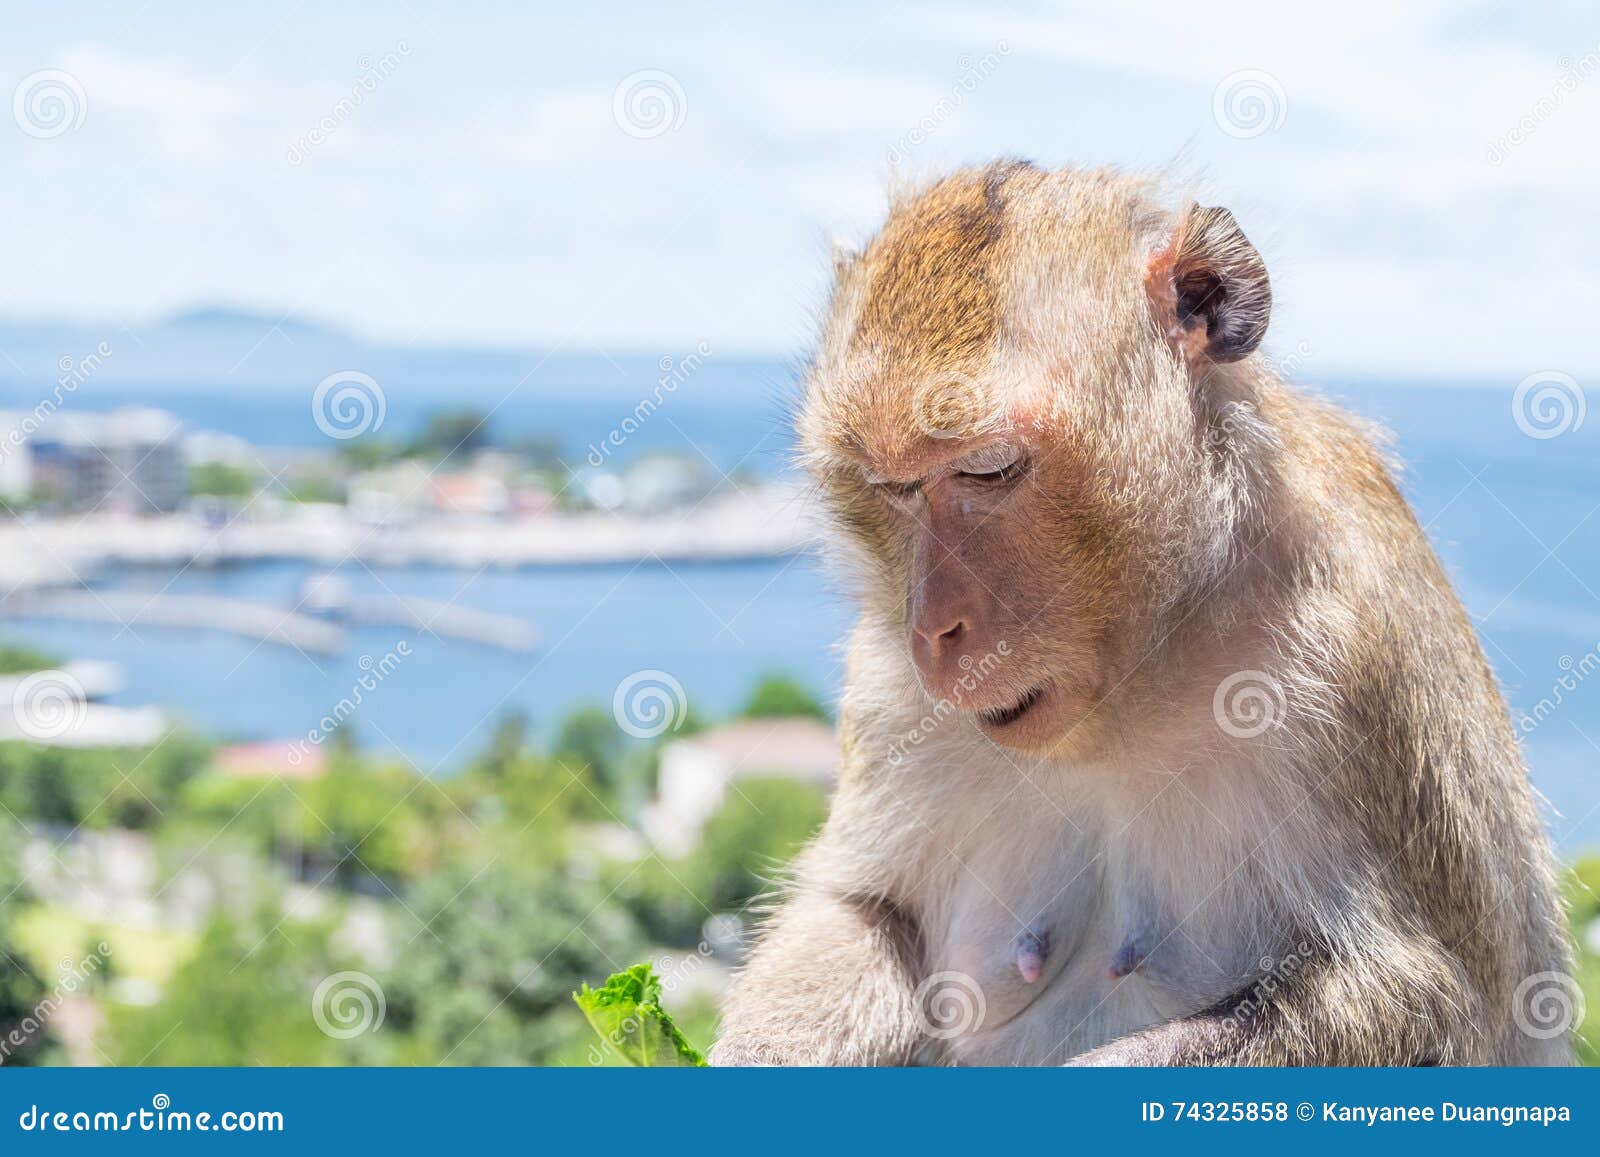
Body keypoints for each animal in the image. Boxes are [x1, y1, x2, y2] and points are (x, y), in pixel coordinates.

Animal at [710, 161, 1573, 1066]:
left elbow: (1429, 1001)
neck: (1148, 657)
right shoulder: (886, 687)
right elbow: (865, 910)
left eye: (988, 469)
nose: (933, 631)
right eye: (890, 488)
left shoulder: (1361, 658)